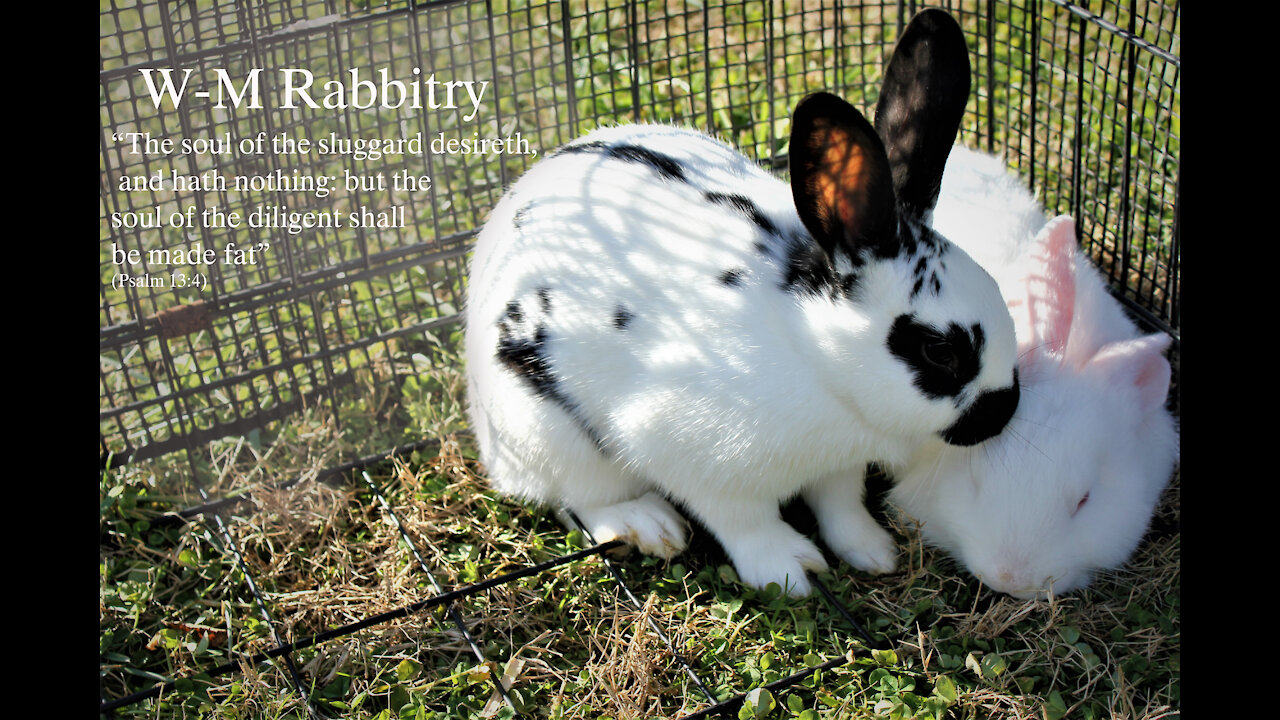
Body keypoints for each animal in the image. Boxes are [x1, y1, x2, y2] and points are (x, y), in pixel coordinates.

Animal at [463, 9, 1022, 597]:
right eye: (939, 350)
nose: (1005, 411)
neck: (817, 360)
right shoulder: (692, 456)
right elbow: (743, 520)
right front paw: (791, 571)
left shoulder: (839, 467)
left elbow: (840, 505)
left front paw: (871, 551)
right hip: (551, 432)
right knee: (583, 497)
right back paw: (649, 524)